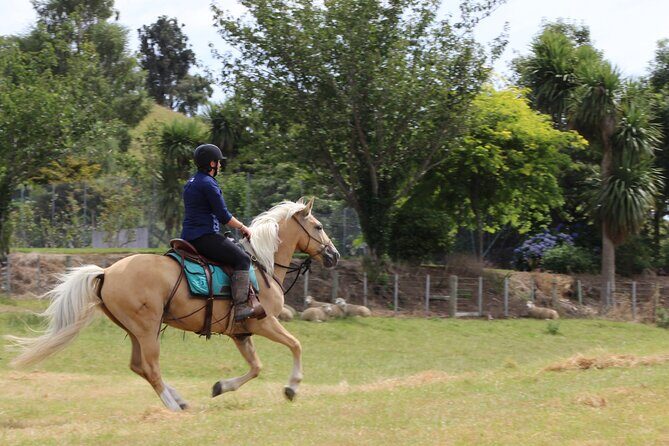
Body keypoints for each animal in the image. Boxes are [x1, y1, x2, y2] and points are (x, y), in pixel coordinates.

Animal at [6, 198, 340, 411]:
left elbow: (256, 367)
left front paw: (221, 387)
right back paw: (173, 406)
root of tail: (107, 272)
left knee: (138, 366)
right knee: (151, 368)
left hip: (138, 331)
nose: (333, 255)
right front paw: (292, 387)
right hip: (147, 329)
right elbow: (296, 345)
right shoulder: (264, 322)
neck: (261, 265)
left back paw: (177, 399)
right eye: (319, 226)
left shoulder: (241, 334)